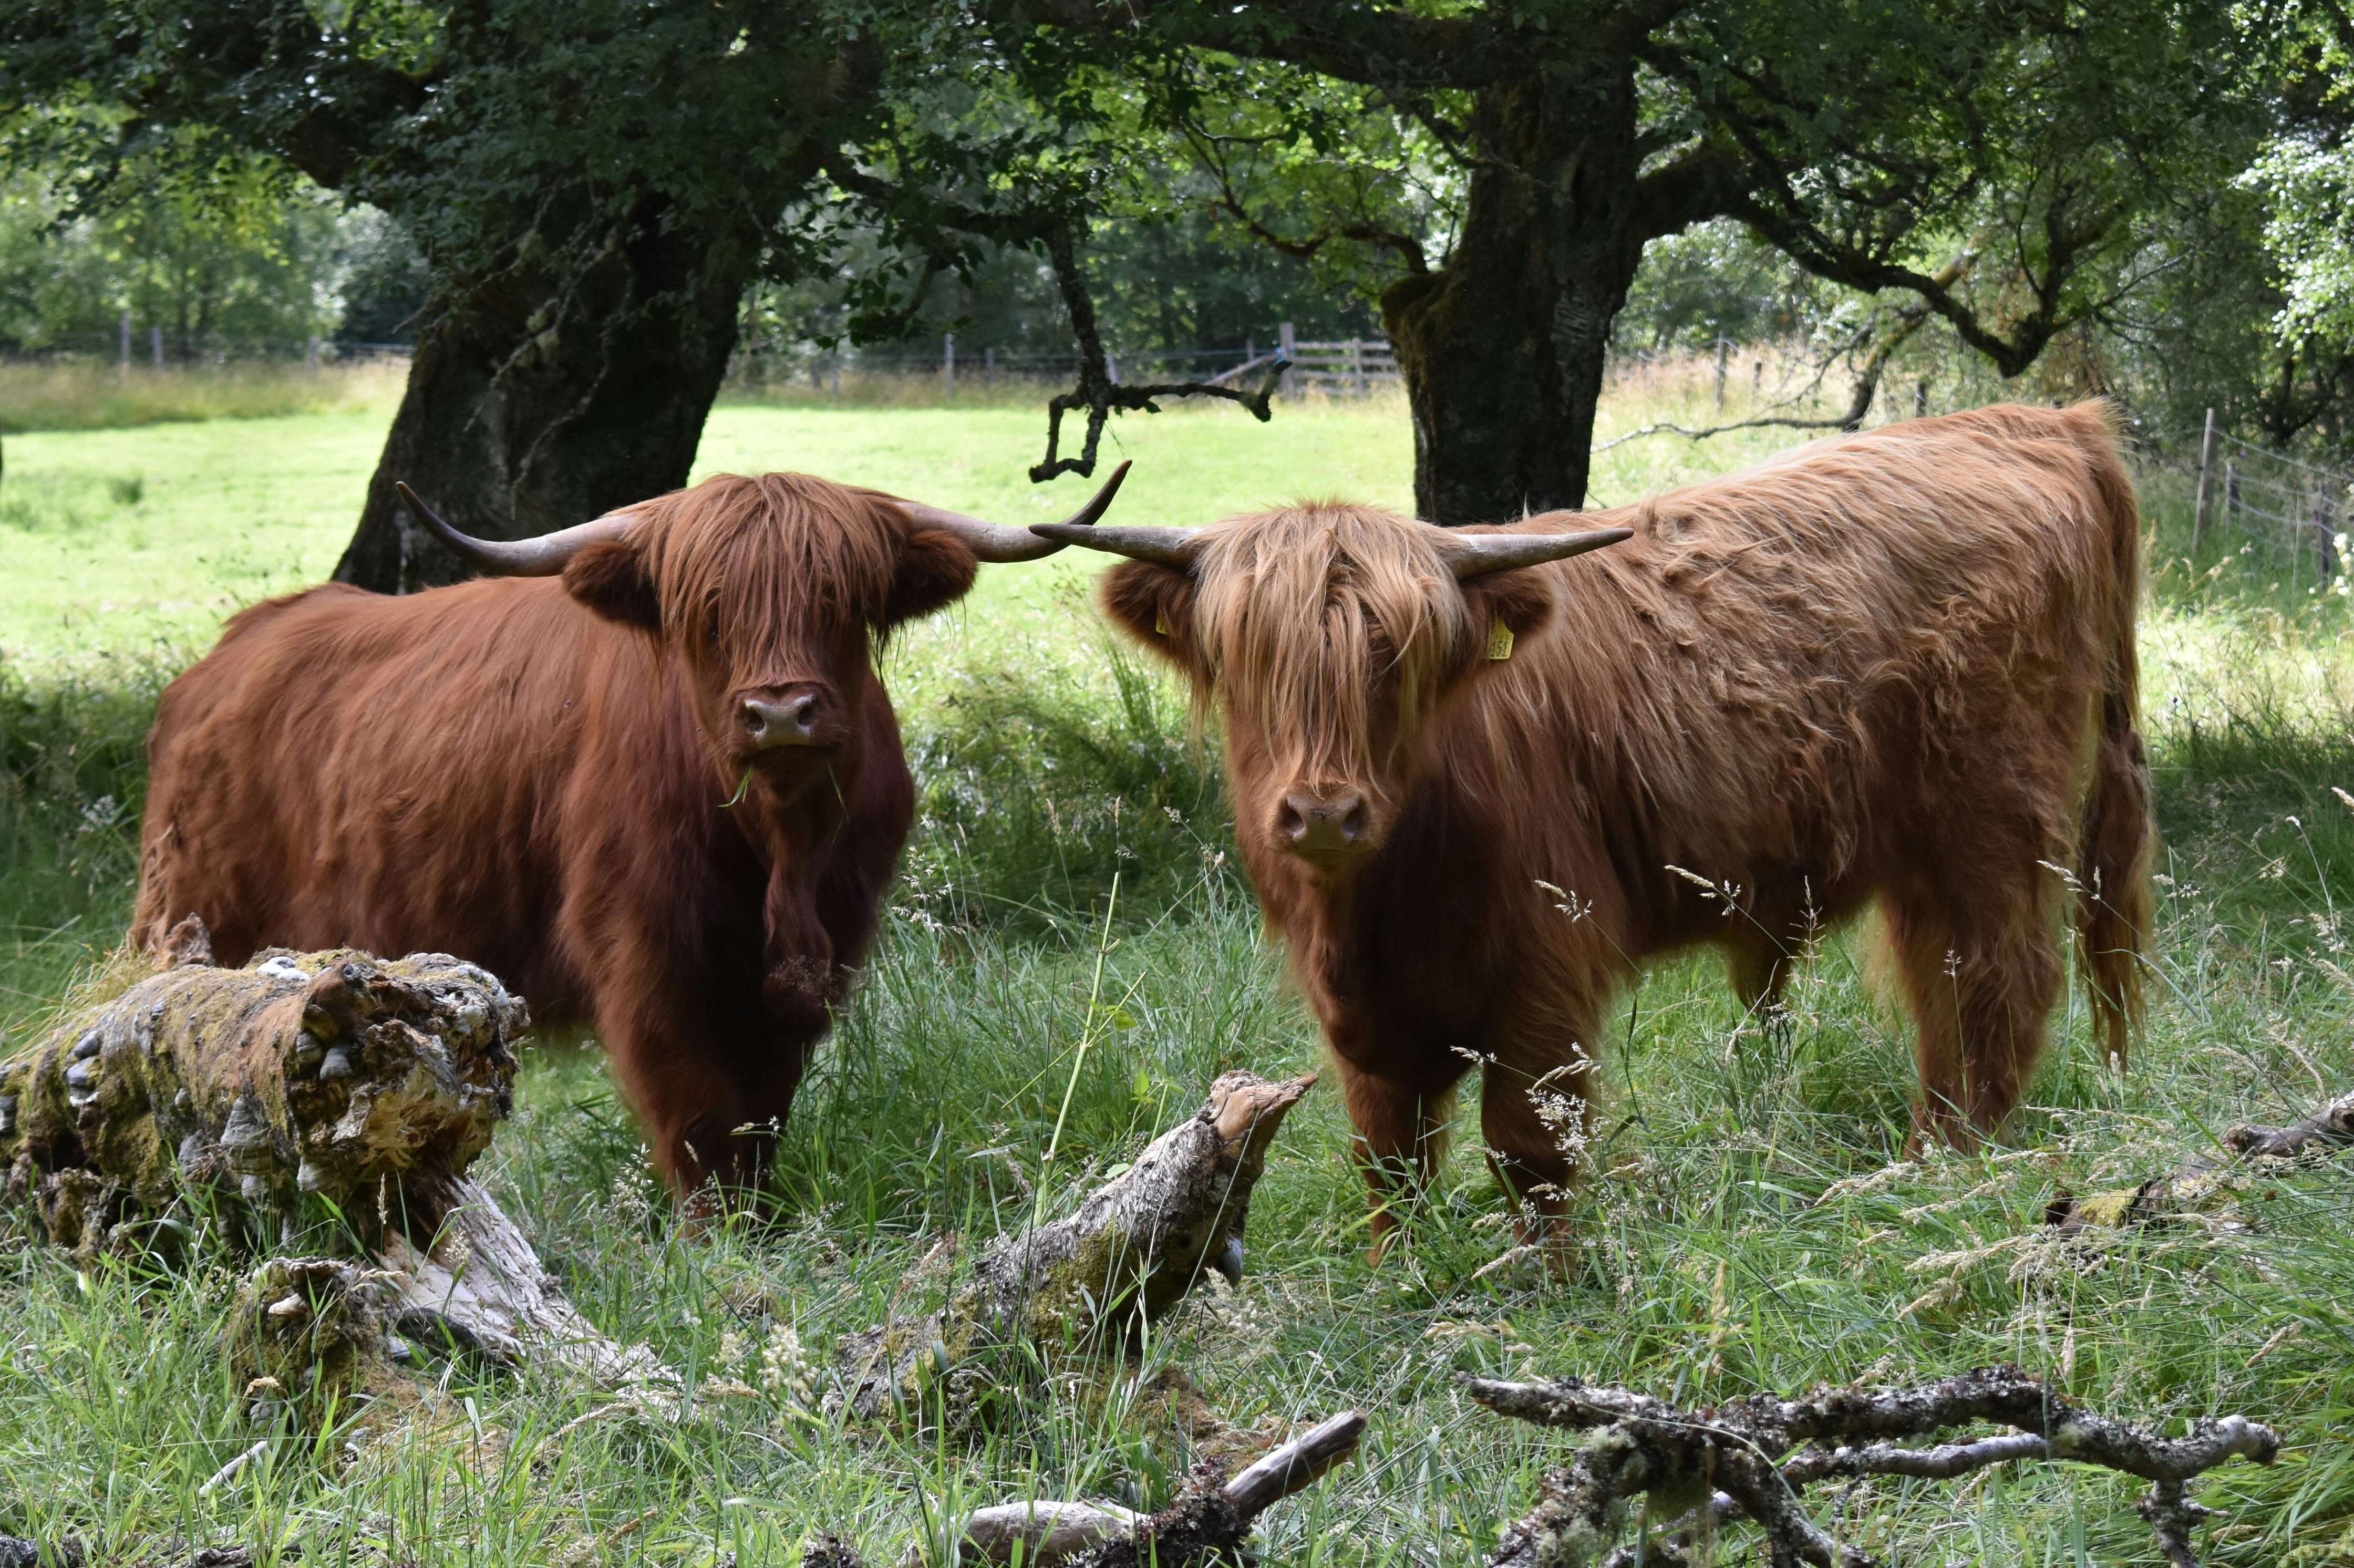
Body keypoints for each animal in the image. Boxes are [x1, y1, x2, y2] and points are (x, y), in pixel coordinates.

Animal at [132, 463, 1128, 1196]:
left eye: (841, 601)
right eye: (708, 611)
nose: (782, 713)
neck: (782, 849)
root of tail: (228, 653)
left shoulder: (823, 952)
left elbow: (764, 1107)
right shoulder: (645, 950)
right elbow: (696, 1110)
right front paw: (716, 1233)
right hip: (191, 914)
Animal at [1035, 404, 2151, 1248]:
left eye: (1398, 657)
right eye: (1250, 659)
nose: (1323, 810)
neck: (1374, 909)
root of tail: (2035, 420)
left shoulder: (1547, 968)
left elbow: (1529, 1143)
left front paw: (1546, 1285)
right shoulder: (1360, 1016)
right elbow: (1387, 1152)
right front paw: (1401, 1273)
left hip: (1993, 819)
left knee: (2002, 982)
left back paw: (1940, 1170)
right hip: (1929, 854)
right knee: (1946, 995)